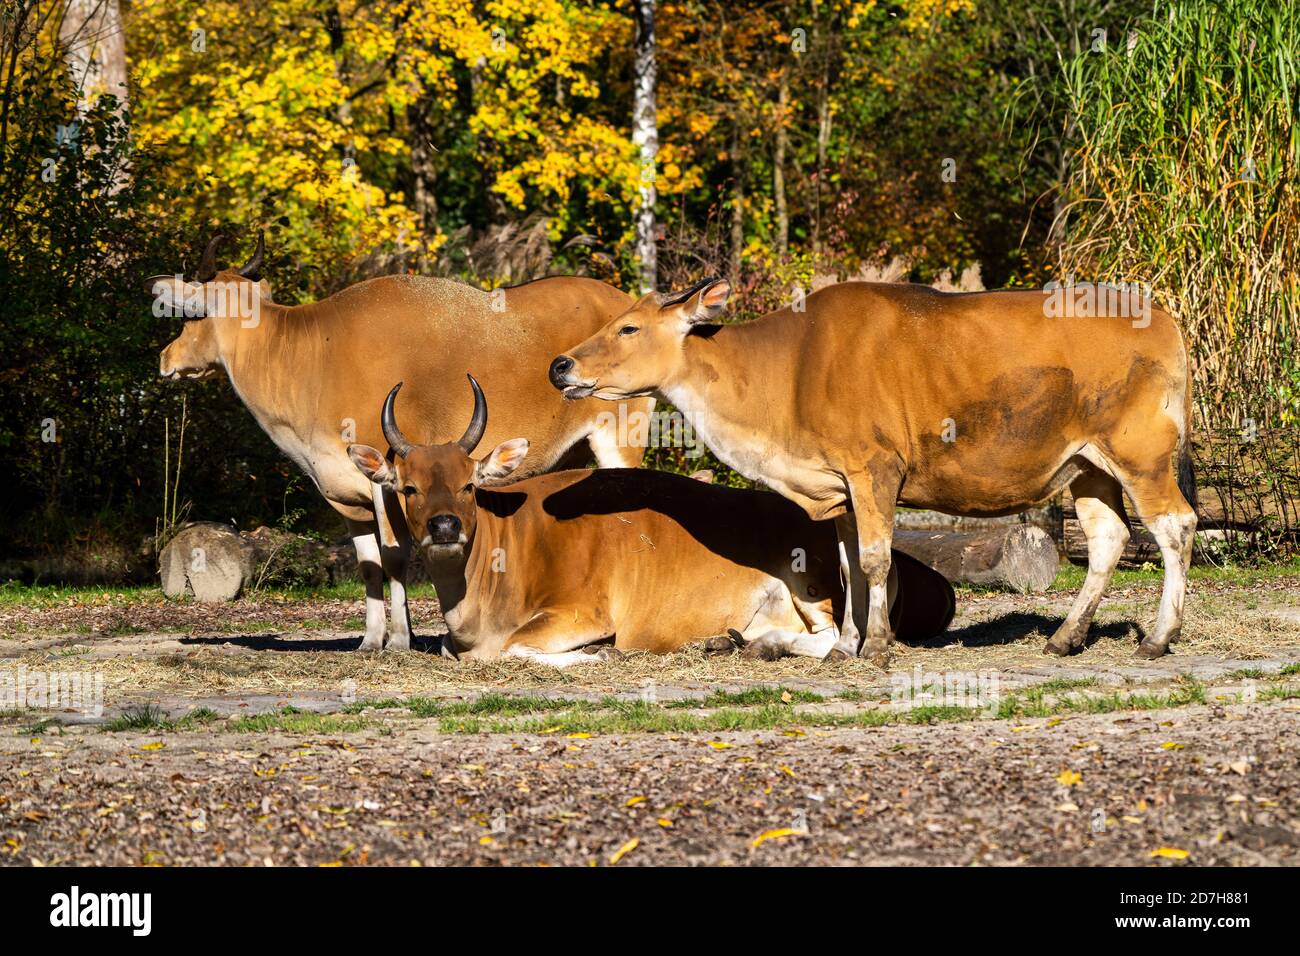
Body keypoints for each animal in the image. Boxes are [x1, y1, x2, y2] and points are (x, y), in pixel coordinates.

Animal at [147, 233, 654, 651]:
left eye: (192, 315)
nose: (166, 357)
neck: (309, 354)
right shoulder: (348, 492)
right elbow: (367, 562)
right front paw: (371, 641)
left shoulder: (386, 479)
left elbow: (393, 554)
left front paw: (400, 639)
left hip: (619, 439)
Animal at [346, 378, 956, 664]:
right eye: (407, 487)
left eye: (470, 484)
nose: (446, 528)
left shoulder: (582, 612)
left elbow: (512, 647)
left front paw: (596, 654)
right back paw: (728, 640)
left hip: (811, 577)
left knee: (830, 635)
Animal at [549, 278, 1197, 666]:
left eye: (628, 328)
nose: (559, 365)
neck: (791, 369)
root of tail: (1162, 316)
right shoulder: (840, 489)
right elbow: (846, 566)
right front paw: (845, 646)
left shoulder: (875, 471)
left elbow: (876, 560)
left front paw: (880, 645)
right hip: (1087, 465)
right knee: (1109, 538)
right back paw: (1065, 638)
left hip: (1140, 455)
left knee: (1175, 527)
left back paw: (1159, 637)